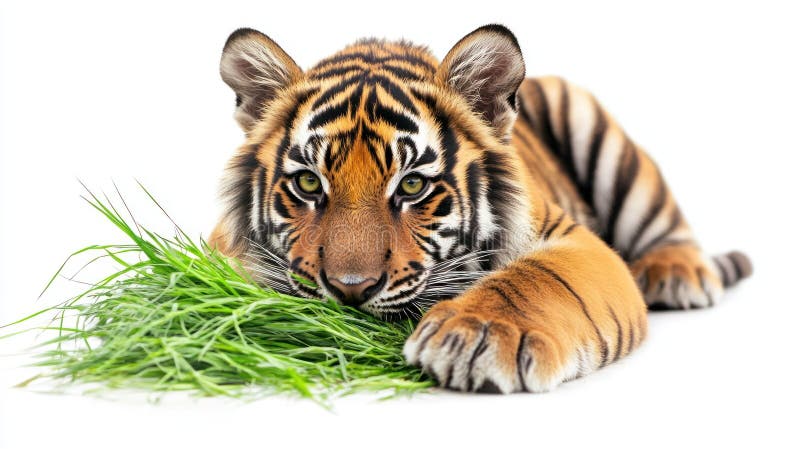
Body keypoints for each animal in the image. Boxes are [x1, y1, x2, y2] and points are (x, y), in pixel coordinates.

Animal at [209, 24, 752, 394]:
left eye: (412, 186)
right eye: (307, 183)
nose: (350, 290)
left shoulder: (575, 239)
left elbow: (539, 277)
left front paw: (478, 336)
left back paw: (675, 274)